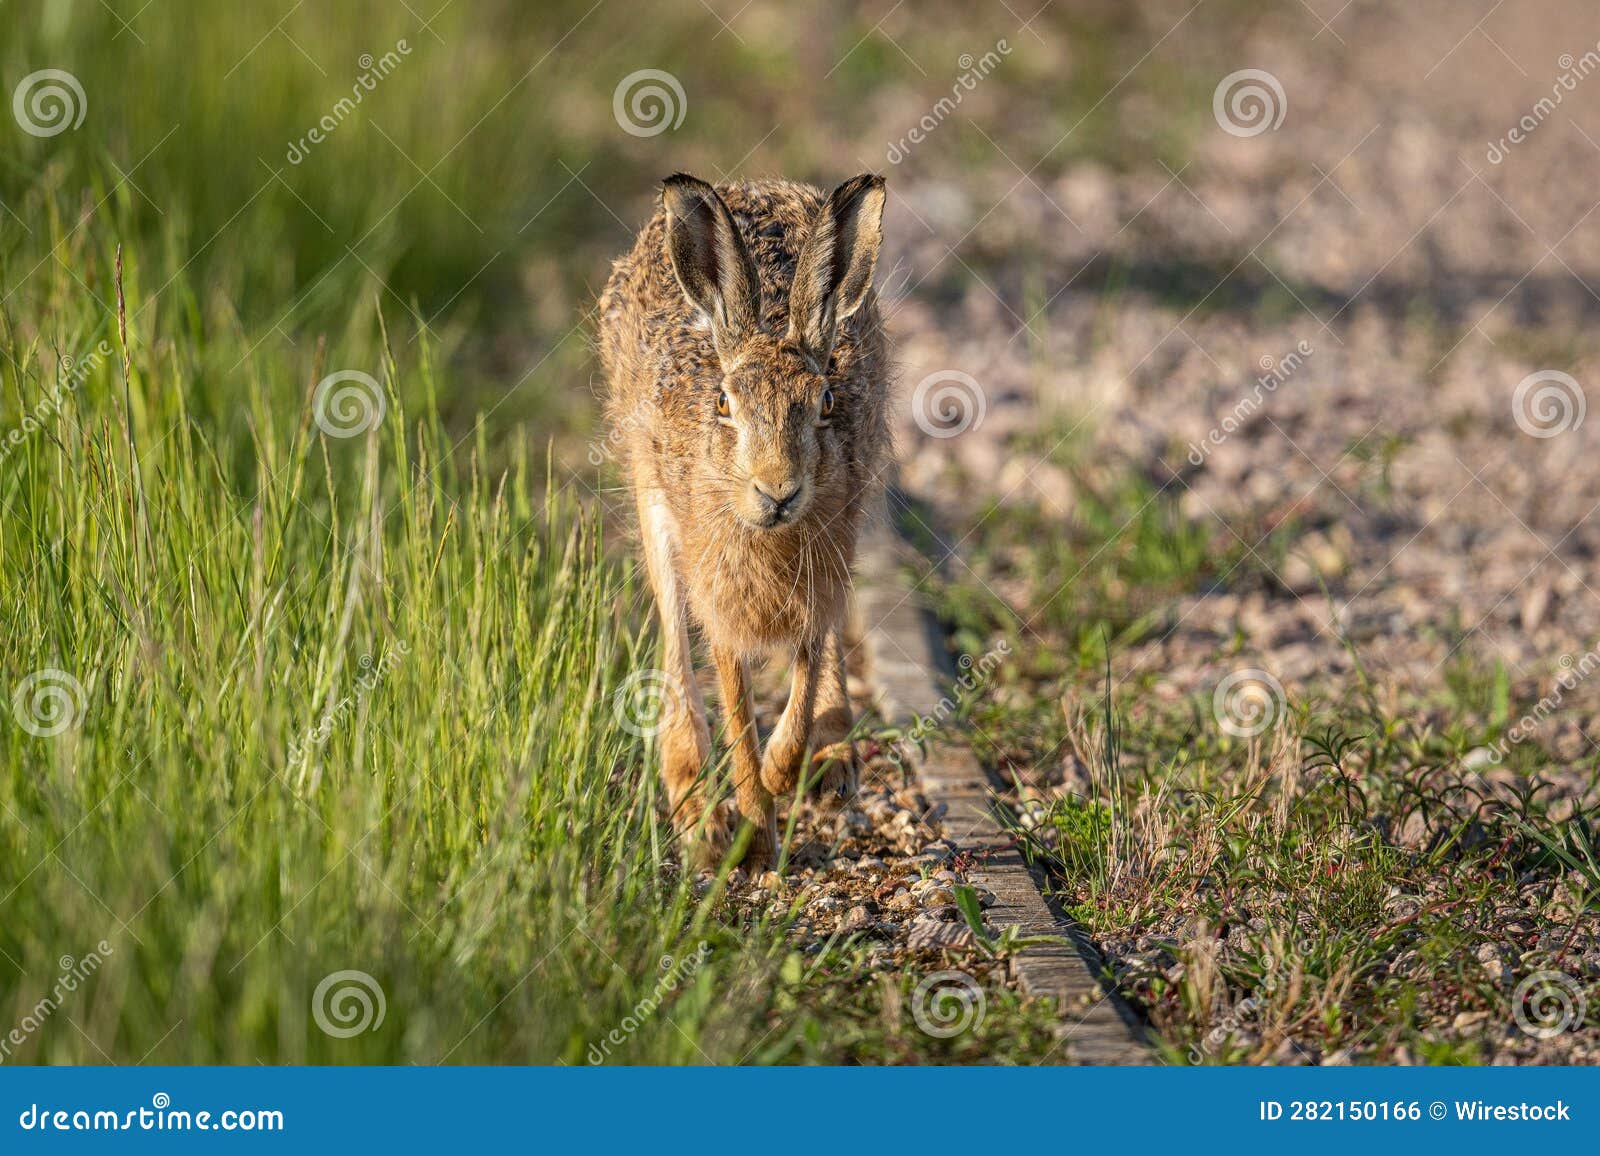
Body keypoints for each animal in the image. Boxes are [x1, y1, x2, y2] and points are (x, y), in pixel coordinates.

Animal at [598, 173, 891, 871]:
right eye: (725, 404)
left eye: (826, 402)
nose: (777, 489)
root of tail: (752, 185)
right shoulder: (722, 607)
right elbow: (736, 712)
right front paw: (755, 837)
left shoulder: (821, 583)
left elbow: (805, 678)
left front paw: (789, 769)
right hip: (651, 498)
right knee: (675, 645)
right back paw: (699, 818)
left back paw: (834, 759)